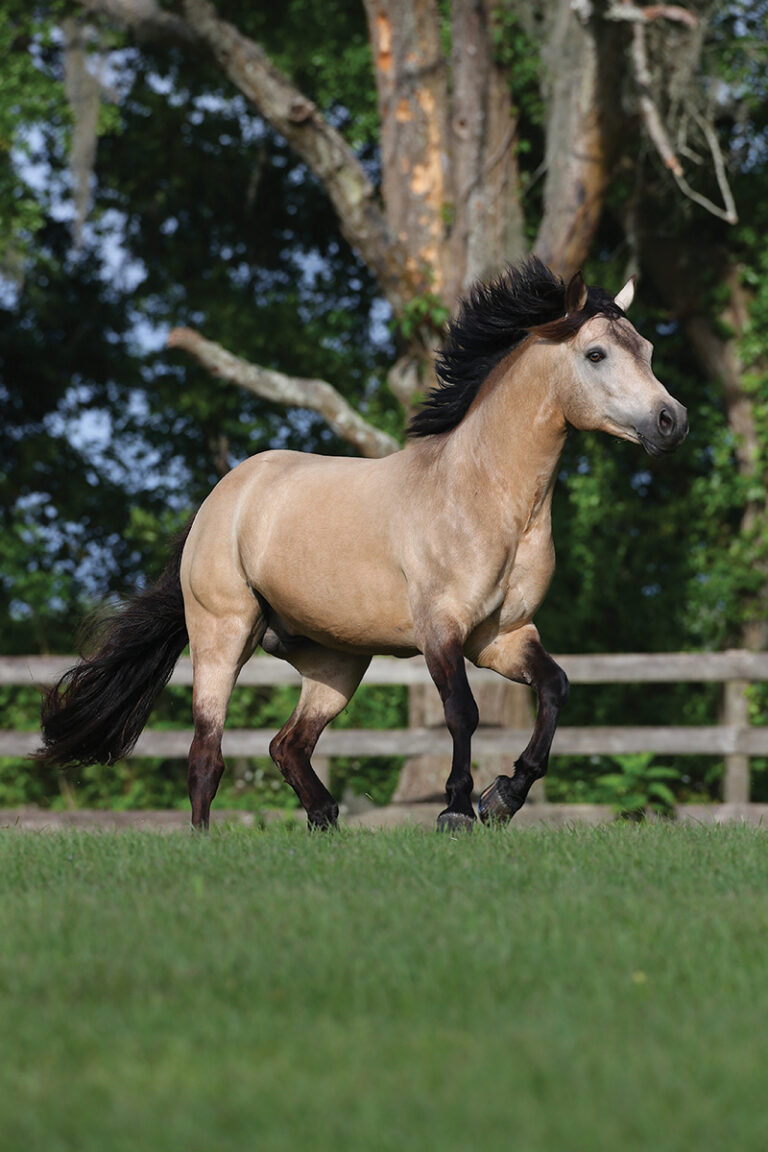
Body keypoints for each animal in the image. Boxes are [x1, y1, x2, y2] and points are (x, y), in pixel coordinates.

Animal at [36, 257, 688, 832]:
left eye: (648, 351)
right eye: (596, 353)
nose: (672, 421)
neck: (485, 496)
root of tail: (223, 498)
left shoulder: (501, 637)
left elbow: (556, 689)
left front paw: (503, 796)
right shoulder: (440, 630)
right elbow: (462, 713)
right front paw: (457, 810)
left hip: (336, 663)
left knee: (287, 746)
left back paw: (326, 819)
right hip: (223, 635)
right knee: (206, 755)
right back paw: (207, 840)